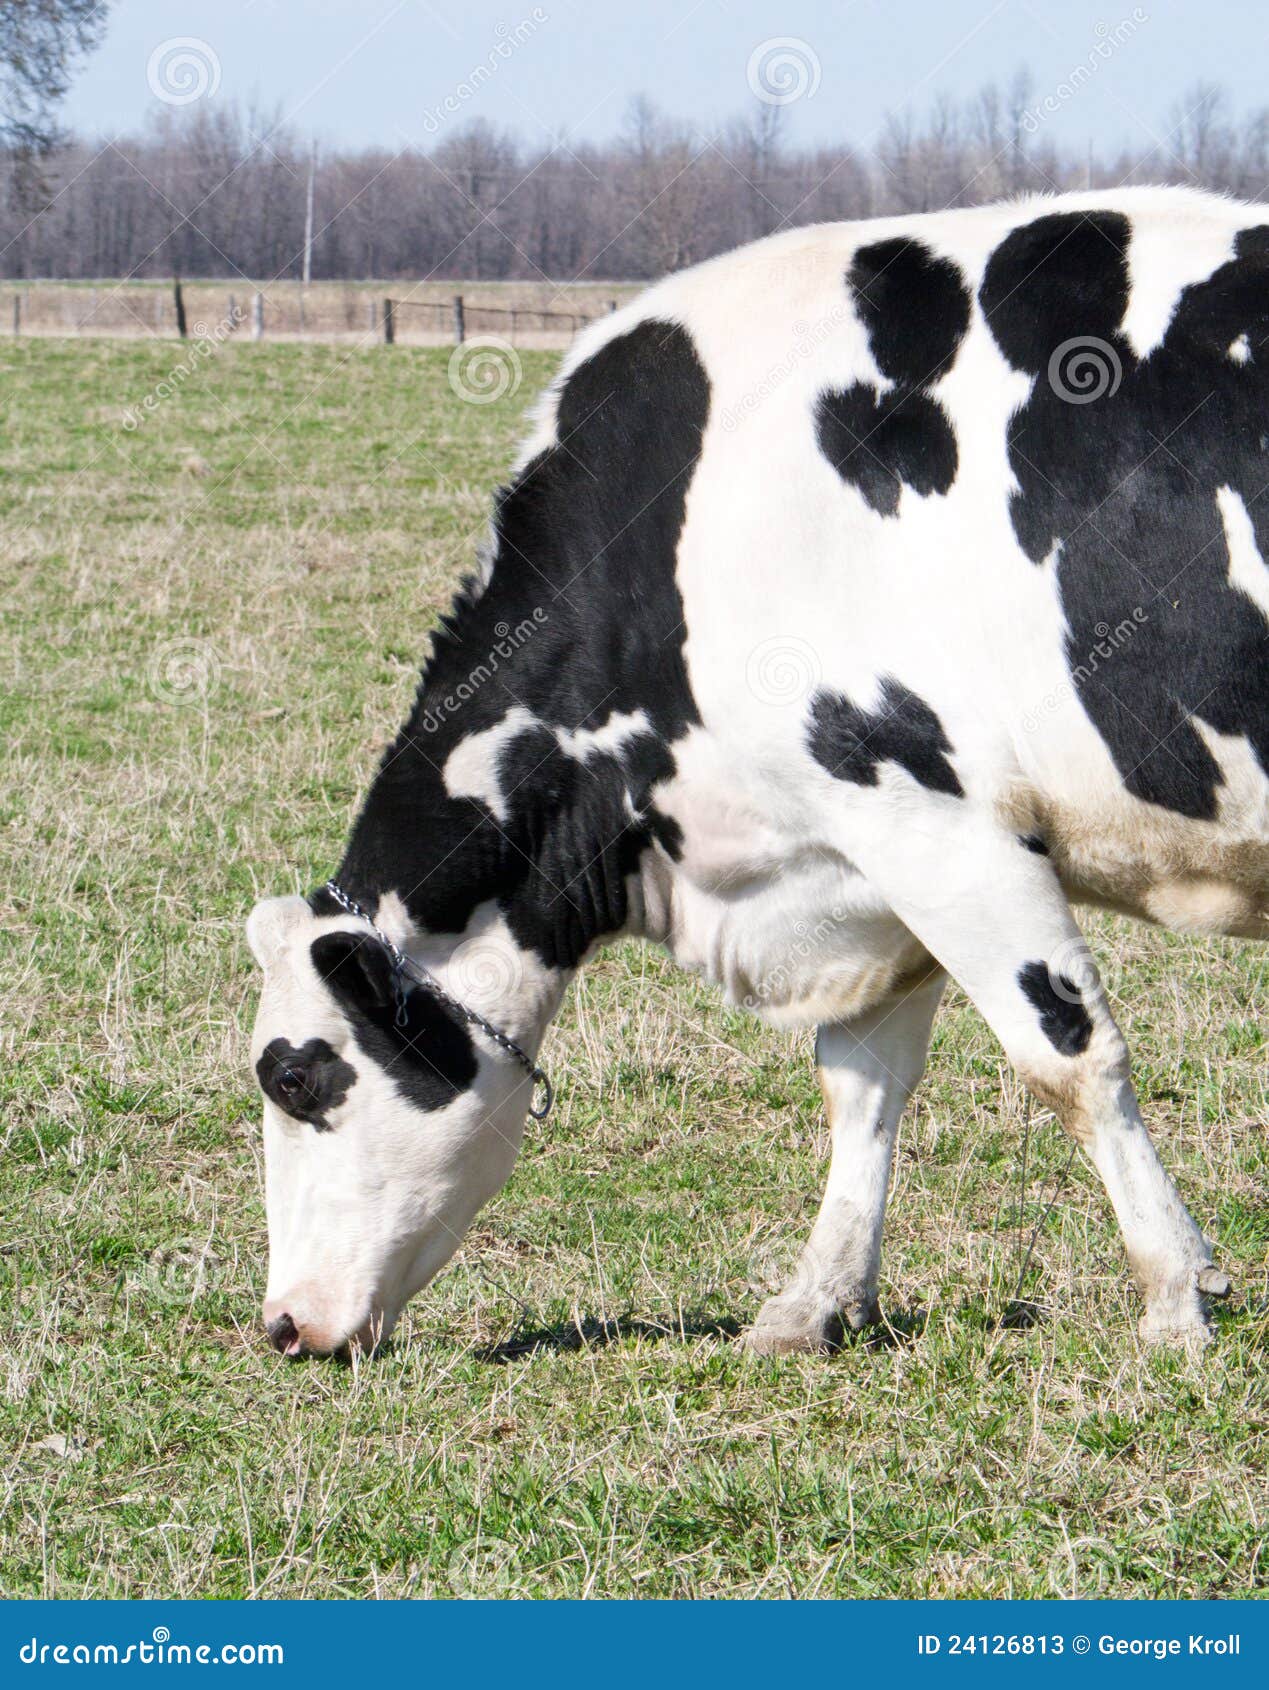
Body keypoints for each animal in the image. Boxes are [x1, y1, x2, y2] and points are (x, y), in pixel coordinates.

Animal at [248, 185, 1268, 1361]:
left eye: (296, 1074)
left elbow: (1070, 1061)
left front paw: (1175, 1294)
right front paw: (815, 1300)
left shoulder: (937, 824)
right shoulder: (868, 858)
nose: (282, 1325)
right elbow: (862, 1082)